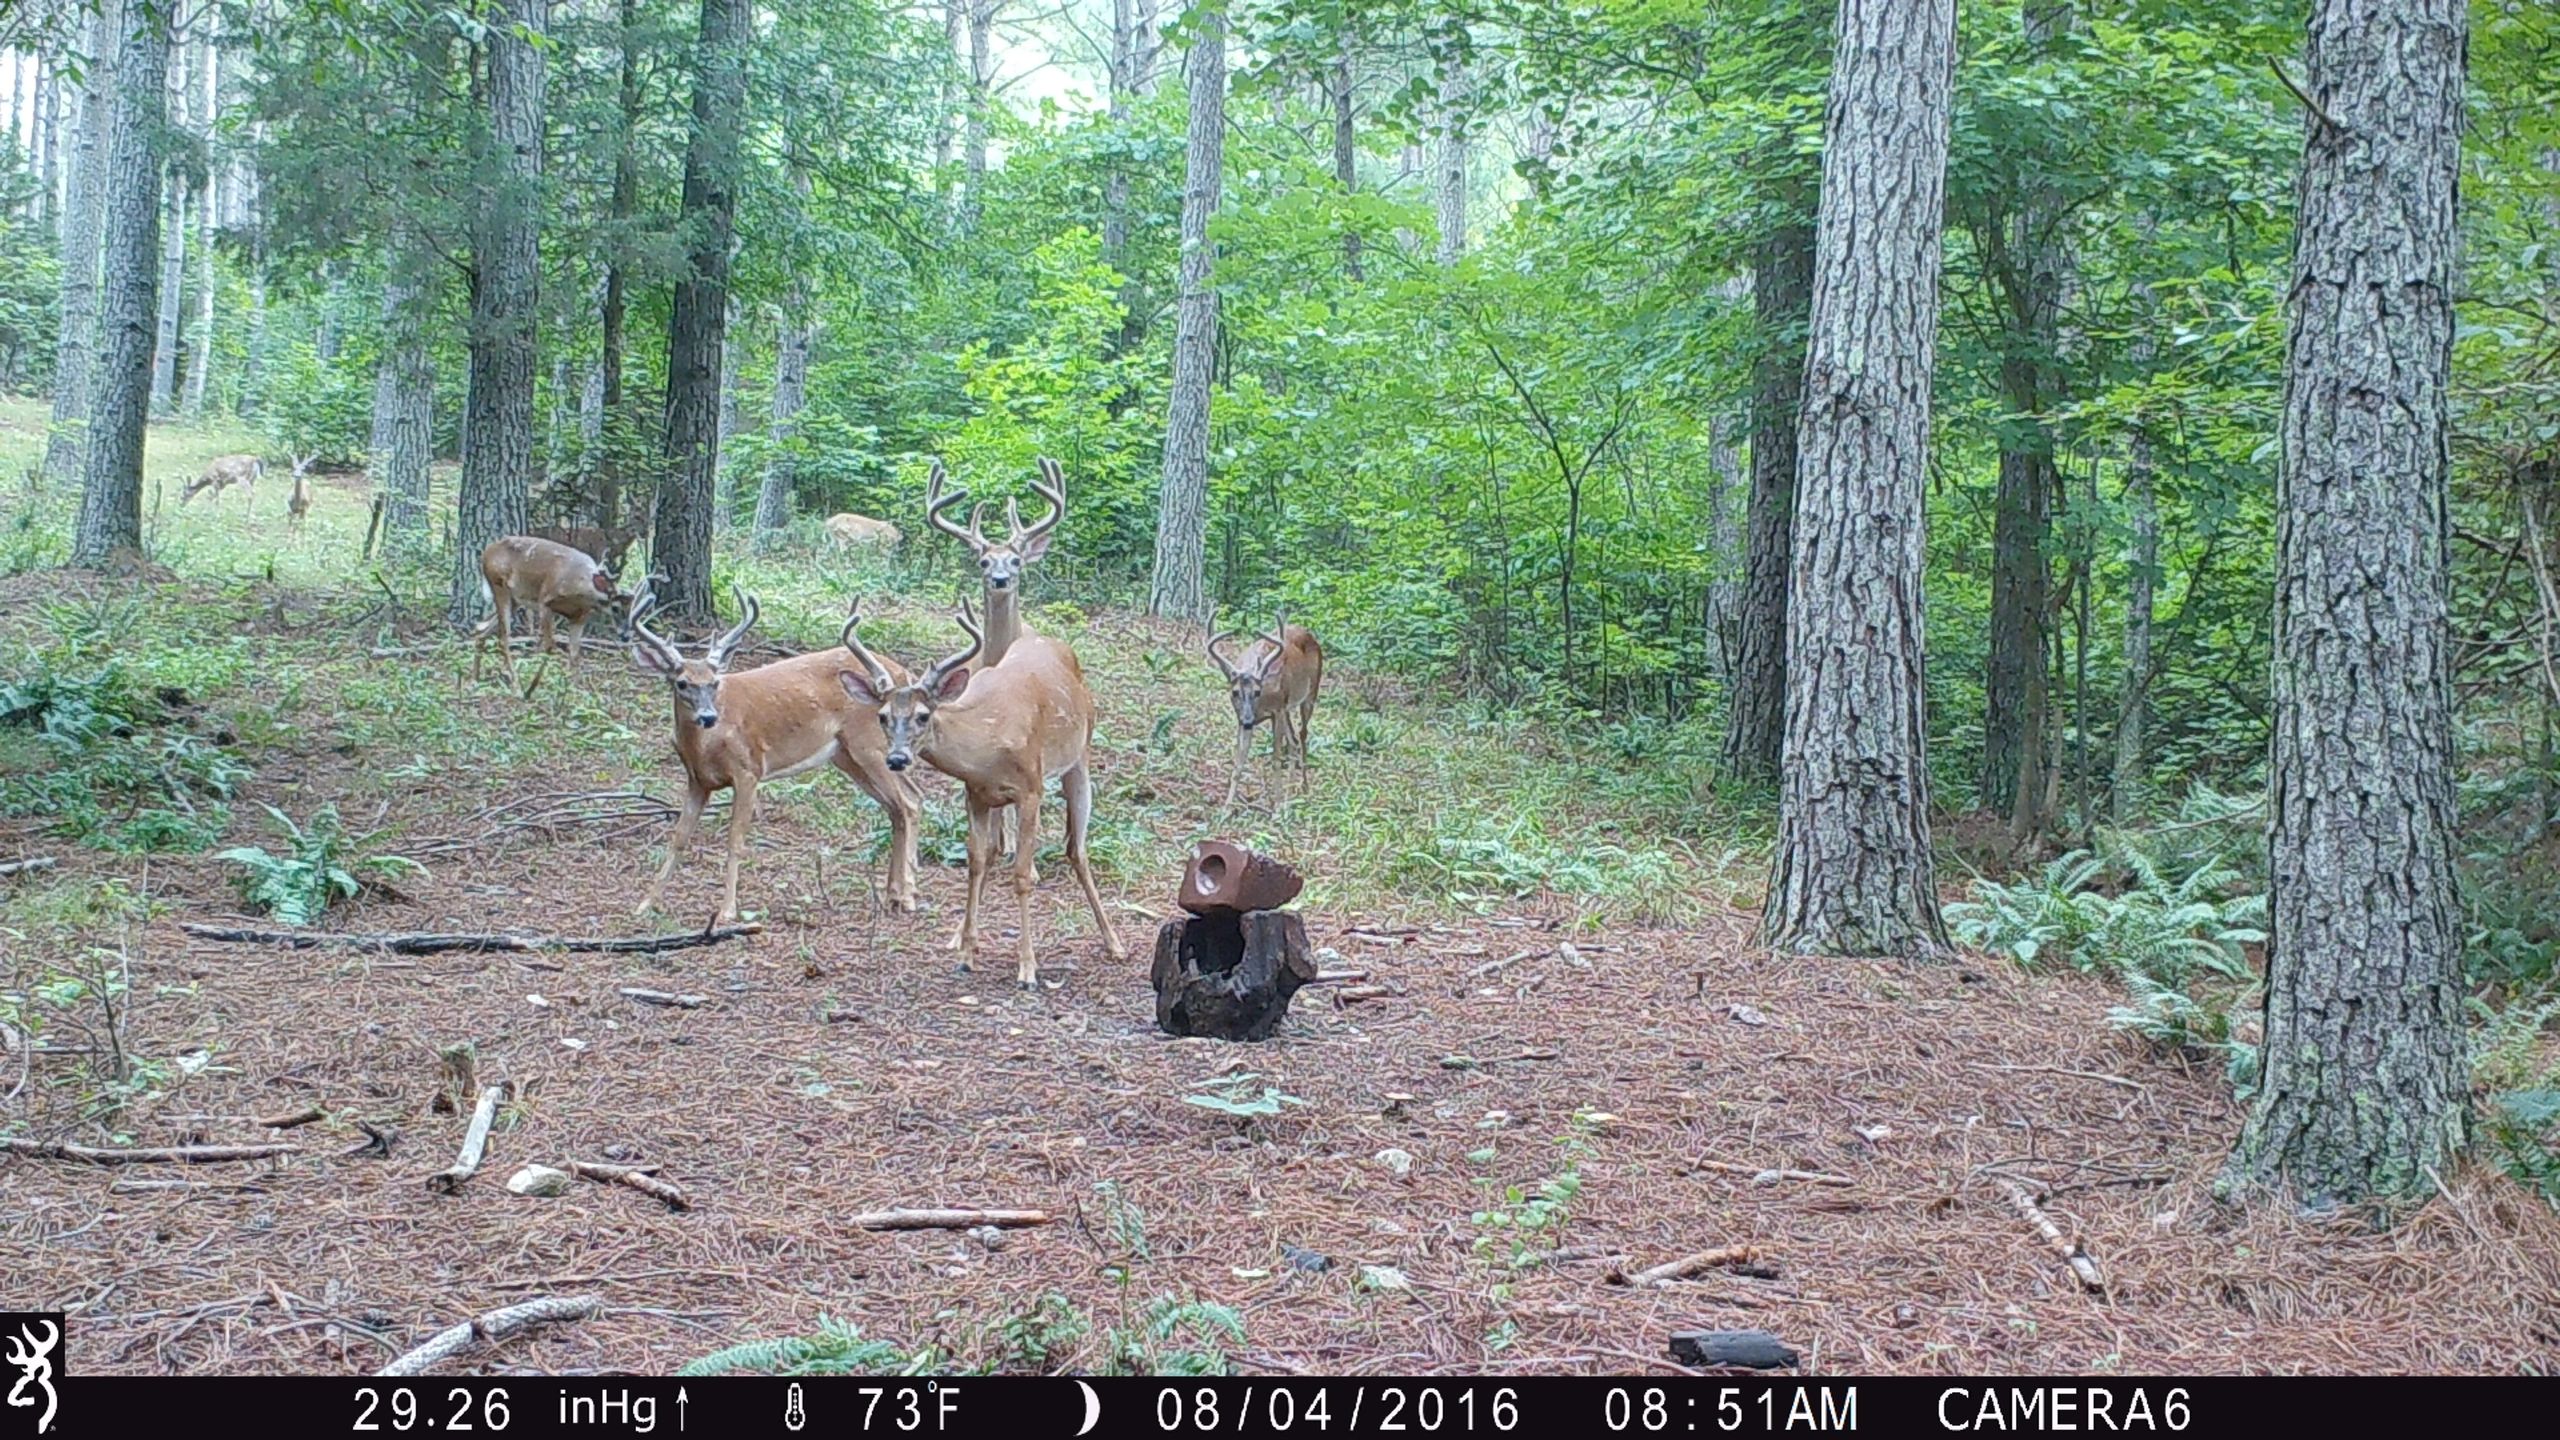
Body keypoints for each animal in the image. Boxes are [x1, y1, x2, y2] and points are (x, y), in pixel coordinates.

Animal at [469, 534, 632, 696]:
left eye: (631, 610)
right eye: (616, 608)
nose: (626, 636)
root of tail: (486, 552)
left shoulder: (579, 618)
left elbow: (575, 654)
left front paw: (574, 691)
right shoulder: (545, 602)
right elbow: (549, 647)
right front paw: (531, 689)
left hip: (515, 599)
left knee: (481, 627)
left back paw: (475, 680)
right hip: (499, 585)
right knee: (503, 638)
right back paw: (517, 687)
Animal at [629, 588, 922, 923]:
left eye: (714, 683)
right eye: (681, 683)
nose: (707, 716)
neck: (704, 747)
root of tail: (904, 675)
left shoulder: (748, 770)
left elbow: (735, 840)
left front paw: (727, 910)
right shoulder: (697, 781)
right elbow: (678, 837)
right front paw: (645, 904)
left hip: (870, 746)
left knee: (908, 803)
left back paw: (906, 895)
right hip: (847, 756)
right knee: (901, 805)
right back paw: (895, 893)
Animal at [839, 599, 1124, 990]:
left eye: (923, 715)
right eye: (882, 716)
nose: (897, 759)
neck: (988, 745)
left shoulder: (1031, 791)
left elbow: (1021, 875)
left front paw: (1027, 969)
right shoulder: (974, 794)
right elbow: (975, 862)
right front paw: (965, 956)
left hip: (1079, 757)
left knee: (1076, 849)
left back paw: (1114, 943)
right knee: (993, 852)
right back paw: (959, 937)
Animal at [1207, 610, 1325, 808]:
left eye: (1257, 691)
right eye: (1235, 692)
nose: (1248, 721)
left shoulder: (1277, 710)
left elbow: (1276, 759)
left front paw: (1277, 806)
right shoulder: (1244, 718)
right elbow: (1239, 761)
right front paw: (1226, 808)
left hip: (1310, 695)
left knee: (1302, 735)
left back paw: (1304, 788)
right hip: (1287, 708)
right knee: (1293, 741)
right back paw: (1290, 793)